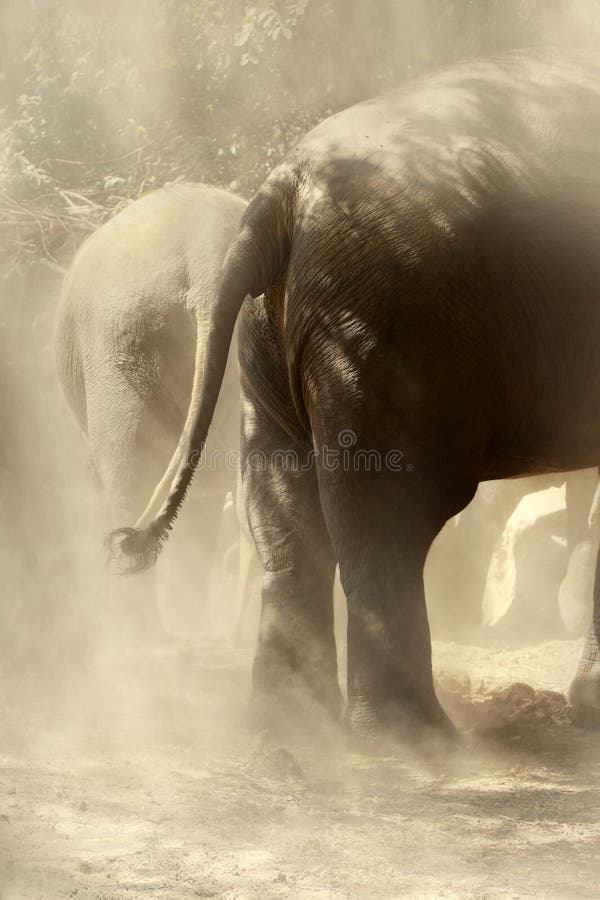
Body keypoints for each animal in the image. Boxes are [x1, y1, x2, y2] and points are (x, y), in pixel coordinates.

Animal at [111, 50, 600, 737]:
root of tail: (280, 195)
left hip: (281, 328)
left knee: (286, 504)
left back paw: (293, 724)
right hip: (390, 320)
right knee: (390, 518)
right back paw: (413, 741)